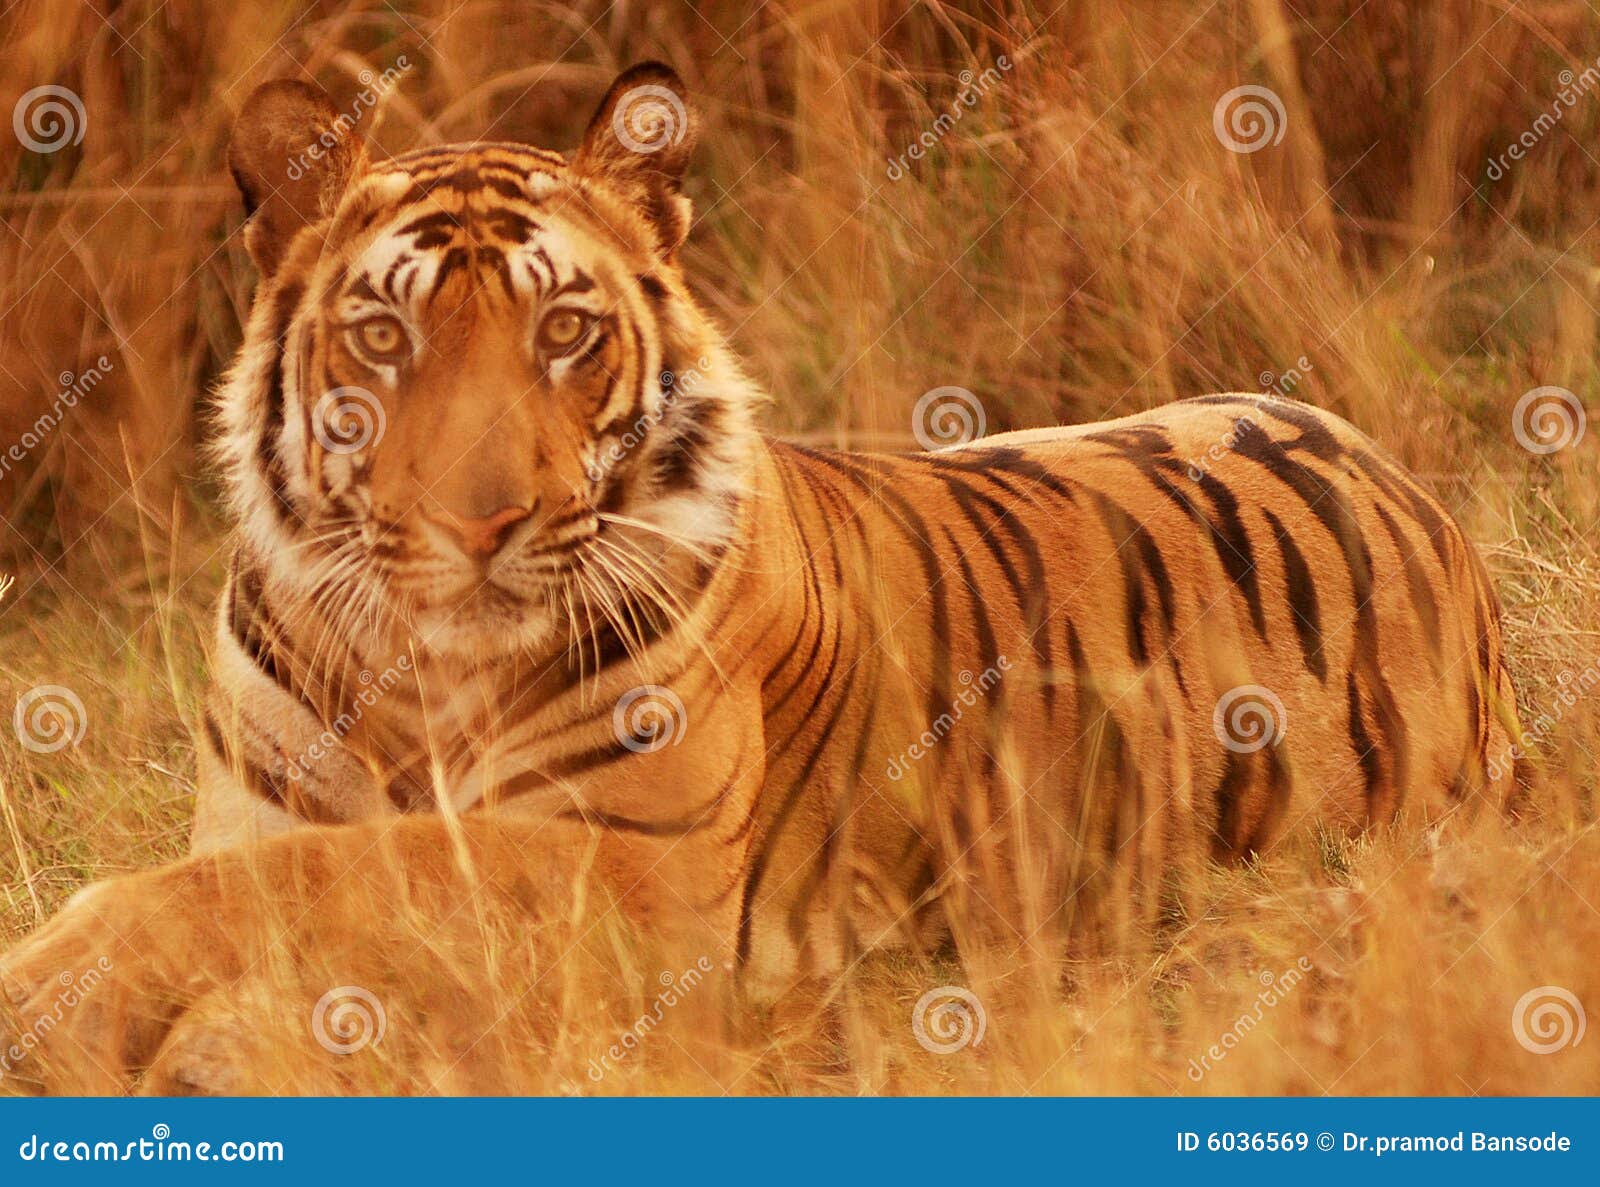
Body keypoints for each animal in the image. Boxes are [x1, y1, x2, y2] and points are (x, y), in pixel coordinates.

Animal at [0, 62, 1522, 1088]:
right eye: (386, 336)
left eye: (564, 332)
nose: (480, 521)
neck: (418, 674)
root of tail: (1419, 497)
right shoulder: (260, 815)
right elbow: (280, 883)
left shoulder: (640, 875)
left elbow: (343, 877)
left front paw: (80, 1003)